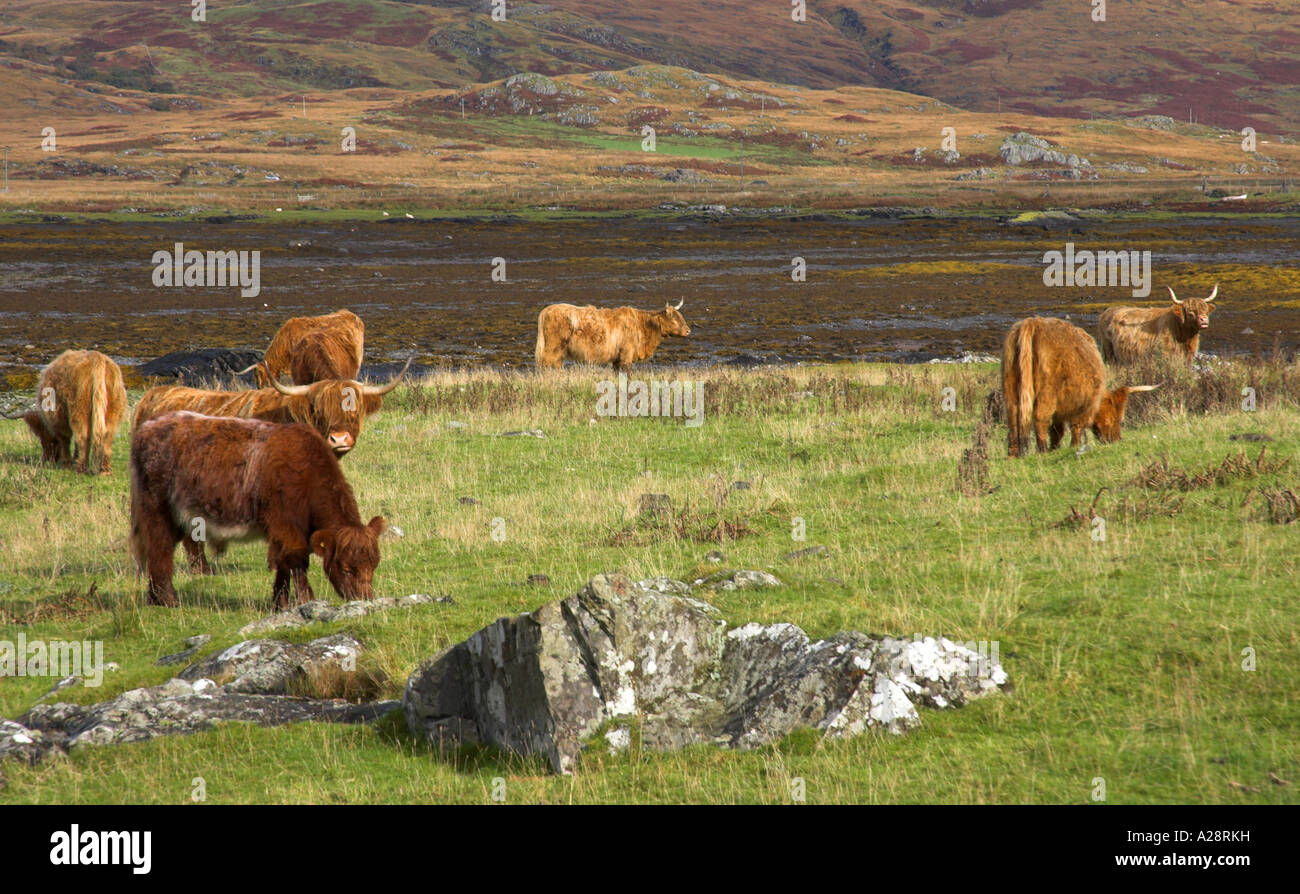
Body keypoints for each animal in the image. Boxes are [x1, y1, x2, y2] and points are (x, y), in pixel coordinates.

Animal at [130, 411, 387, 608]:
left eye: (374, 564)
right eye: (346, 568)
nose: (365, 598)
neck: (307, 474)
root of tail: (149, 427)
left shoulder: (283, 532)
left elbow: (283, 565)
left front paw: (280, 603)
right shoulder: (286, 527)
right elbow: (297, 561)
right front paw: (306, 600)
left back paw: (154, 597)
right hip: (157, 509)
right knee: (160, 548)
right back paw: (168, 599)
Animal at [535, 300, 691, 371]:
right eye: (674, 319)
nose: (688, 330)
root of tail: (547, 309)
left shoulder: (617, 360)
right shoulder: (626, 357)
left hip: (558, 354)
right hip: (552, 350)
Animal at [1002, 317, 1158, 458]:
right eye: (1118, 418)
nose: (1116, 439)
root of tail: (1032, 323)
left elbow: (1057, 430)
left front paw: (1055, 448)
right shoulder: (1082, 406)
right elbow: (1075, 426)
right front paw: (1073, 446)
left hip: (1011, 389)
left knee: (1013, 419)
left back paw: (1013, 455)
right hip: (1047, 393)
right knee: (1040, 418)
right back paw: (1043, 451)